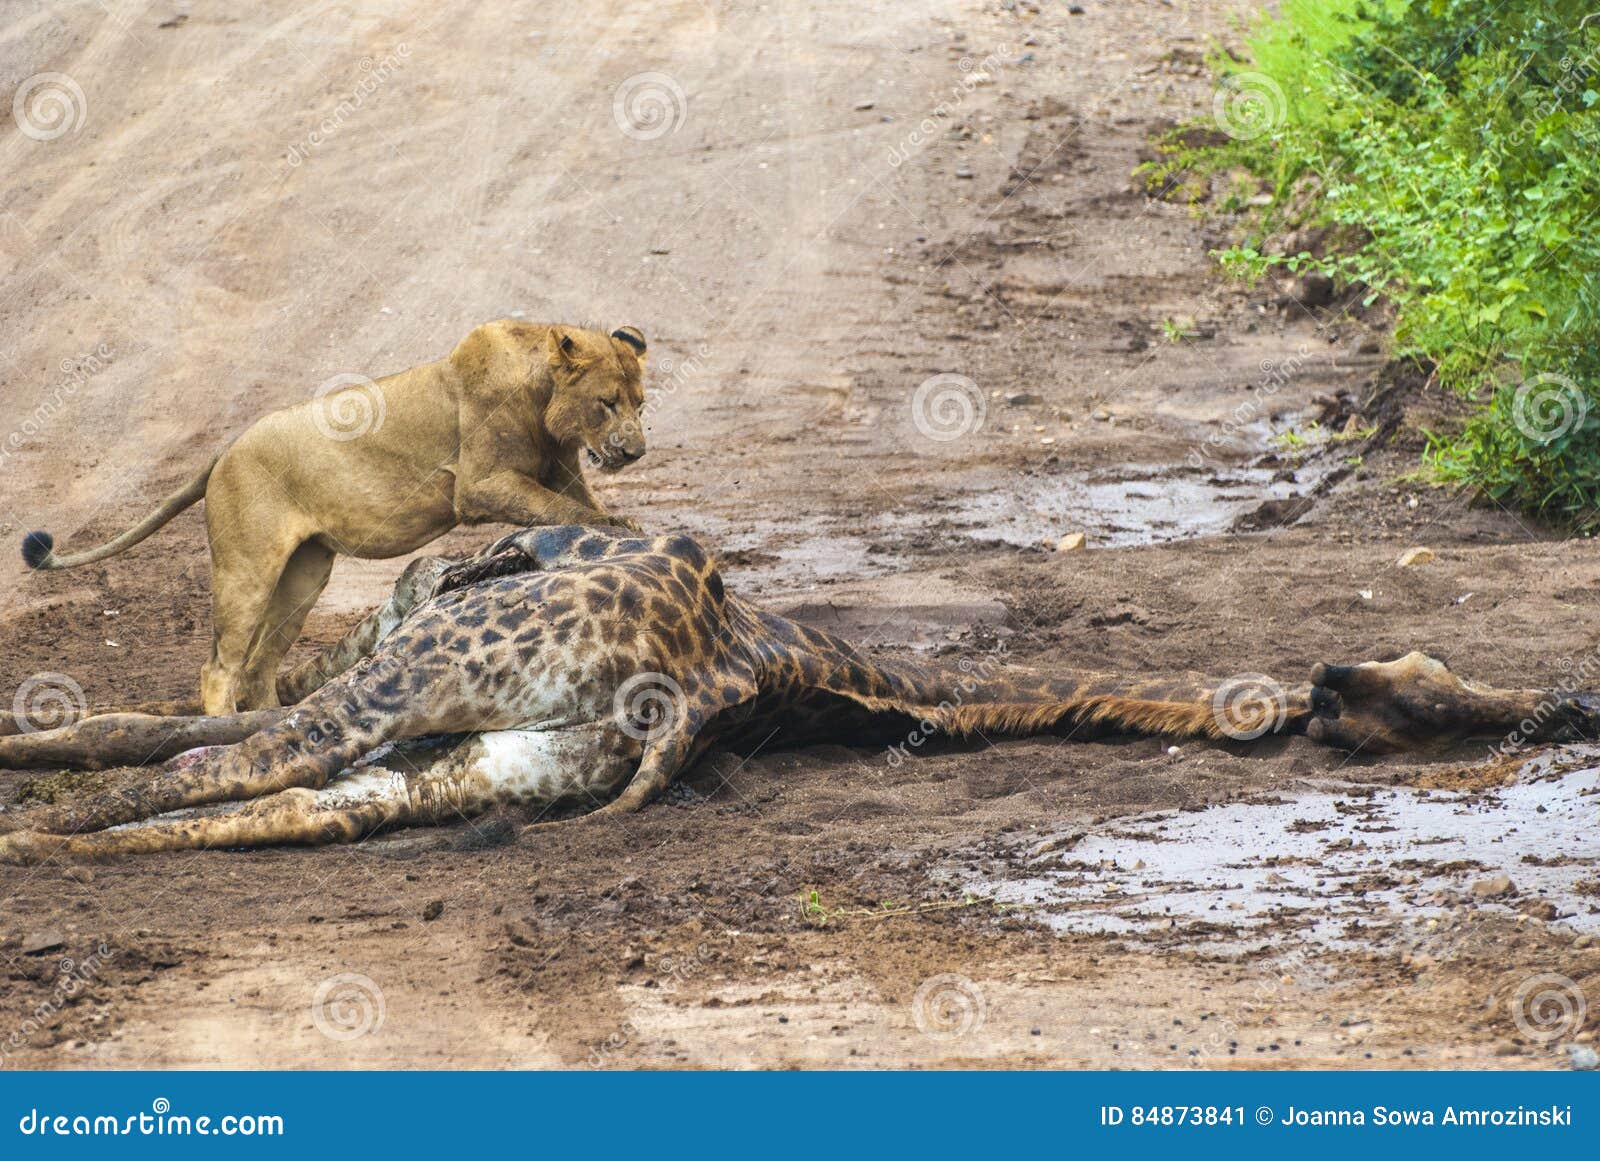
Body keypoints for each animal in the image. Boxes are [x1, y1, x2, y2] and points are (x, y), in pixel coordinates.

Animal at [22, 319, 649, 715]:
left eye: (640, 404)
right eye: (606, 403)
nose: (635, 451)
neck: (543, 400)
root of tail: (224, 451)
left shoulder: (559, 465)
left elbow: (580, 502)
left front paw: (625, 525)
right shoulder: (479, 485)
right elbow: (562, 508)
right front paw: (616, 528)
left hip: (304, 574)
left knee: (258, 666)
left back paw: (268, 726)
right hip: (247, 568)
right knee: (219, 669)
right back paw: (225, 729)